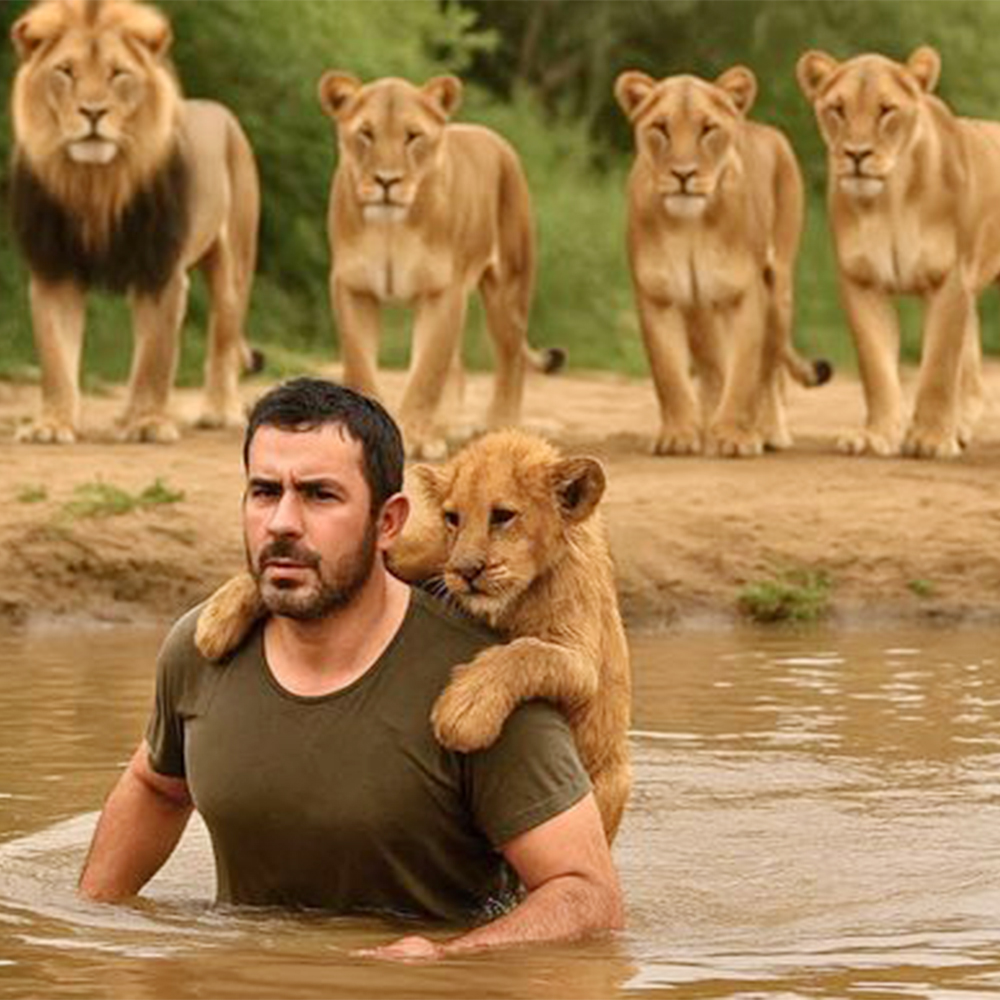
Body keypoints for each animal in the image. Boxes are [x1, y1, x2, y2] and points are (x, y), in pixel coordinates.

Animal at [9, 0, 260, 444]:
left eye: (118, 73)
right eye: (65, 71)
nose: (93, 112)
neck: (97, 184)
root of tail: (221, 110)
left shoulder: (160, 270)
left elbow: (155, 357)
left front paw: (147, 423)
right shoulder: (54, 269)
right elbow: (55, 357)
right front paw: (52, 424)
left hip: (234, 265)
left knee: (223, 341)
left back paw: (218, 411)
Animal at [317, 72, 563, 460]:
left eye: (413, 136)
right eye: (366, 134)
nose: (387, 181)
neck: (390, 228)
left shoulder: (442, 291)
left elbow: (427, 372)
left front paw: (417, 439)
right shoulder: (352, 286)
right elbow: (360, 364)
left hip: (509, 286)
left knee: (510, 357)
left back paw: (498, 423)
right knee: (458, 367)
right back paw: (445, 426)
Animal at [614, 67, 831, 457]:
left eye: (708, 129)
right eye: (660, 128)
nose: (683, 174)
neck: (690, 226)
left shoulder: (744, 294)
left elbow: (745, 370)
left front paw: (734, 436)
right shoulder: (658, 296)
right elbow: (669, 373)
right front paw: (680, 435)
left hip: (779, 289)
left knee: (770, 369)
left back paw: (769, 431)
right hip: (699, 308)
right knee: (713, 365)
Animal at [797, 47, 1000, 458]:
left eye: (886, 110)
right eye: (837, 109)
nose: (857, 154)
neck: (890, 199)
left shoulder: (949, 280)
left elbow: (939, 367)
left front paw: (931, 439)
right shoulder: (861, 282)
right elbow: (876, 367)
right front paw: (877, 435)